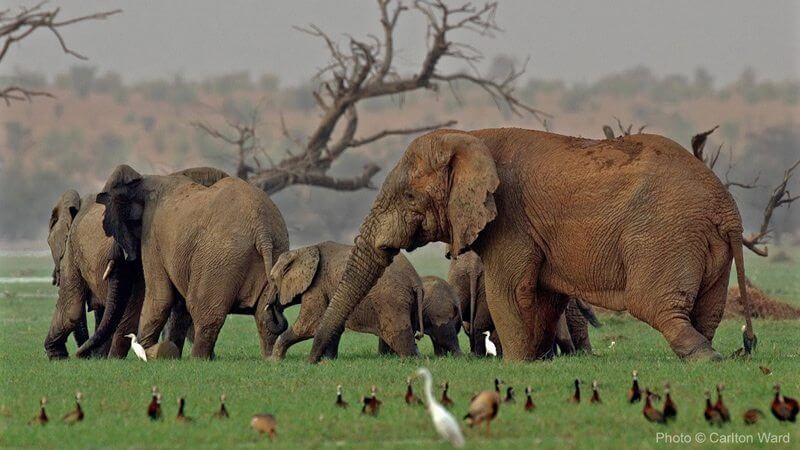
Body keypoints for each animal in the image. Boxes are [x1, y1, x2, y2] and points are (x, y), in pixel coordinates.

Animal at [96, 164, 289, 359]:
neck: (143, 180)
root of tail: (262, 231)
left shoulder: (152, 237)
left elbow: (160, 298)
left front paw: (150, 354)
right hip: (276, 250)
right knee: (264, 314)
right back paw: (270, 359)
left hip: (220, 257)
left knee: (204, 310)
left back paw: (198, 359)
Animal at [269, 241, 425, 360]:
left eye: (271, 279)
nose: (273, 304)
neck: (305, 250)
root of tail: (415, 280)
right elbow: (332, 324)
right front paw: (328, 361)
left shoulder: (317, 285)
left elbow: (309, 324)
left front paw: (275, 360)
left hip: (391, 300)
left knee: (396, 332)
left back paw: (410, 360)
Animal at [308, 128, 755, 362]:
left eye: (410, 198)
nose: (316, 362)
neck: (472, 138)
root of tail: (728, 208)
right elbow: (542, 294)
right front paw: (538, 361)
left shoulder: (510, 217)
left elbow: (511, 291)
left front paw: (516, 364)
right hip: (703, 244)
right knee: (707, 310)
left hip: (664, 235)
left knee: (656, 305)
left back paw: (706, 358)